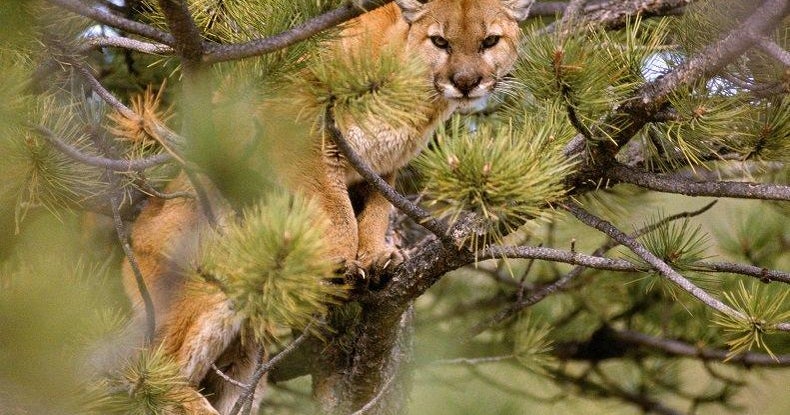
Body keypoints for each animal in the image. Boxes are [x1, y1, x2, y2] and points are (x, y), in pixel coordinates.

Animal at [123, 1, 534, 413]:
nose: (465, 81)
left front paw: (377, 256)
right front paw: (342, 263)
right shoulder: (310, 144)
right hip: (207, 290)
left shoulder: (379, 168)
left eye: (489, 41)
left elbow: (376, 214)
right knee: (148, 372)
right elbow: (338, 212)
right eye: (440, 41)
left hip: (246, 354)